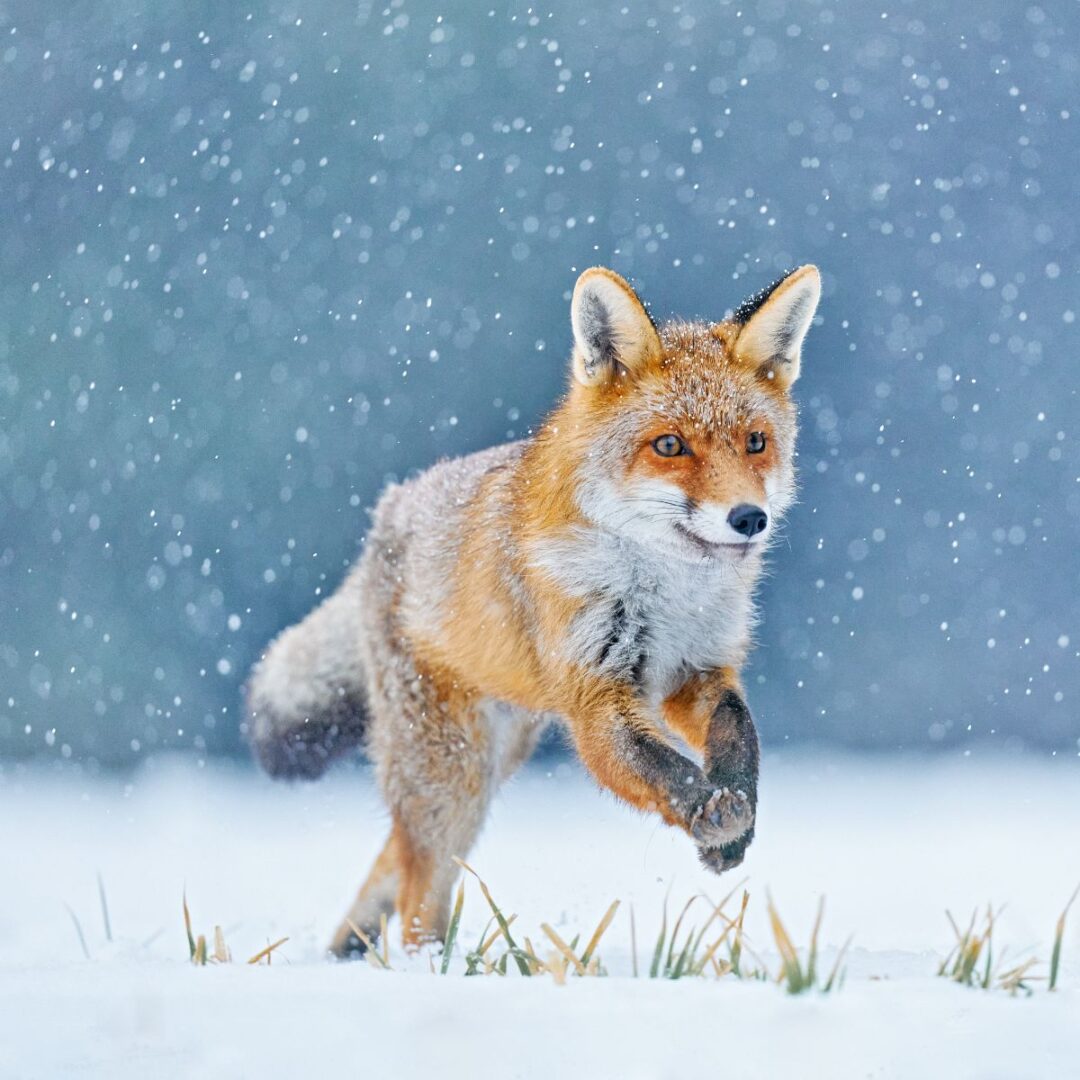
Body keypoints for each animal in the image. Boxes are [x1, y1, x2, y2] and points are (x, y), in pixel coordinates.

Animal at [246, 262, 822, 958]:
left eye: (756, 442)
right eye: (669, 445)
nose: (749, 518)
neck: (668, 594)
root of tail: (388, 514)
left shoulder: (699, 670)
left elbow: (740, 738)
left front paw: (737, 819)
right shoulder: (595, 695)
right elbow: (659, 768)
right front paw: (709, 814)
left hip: (491, 759)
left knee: (396, 860)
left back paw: (346, 952)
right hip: (451, 771)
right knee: (418, 890)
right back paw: (424, 965)